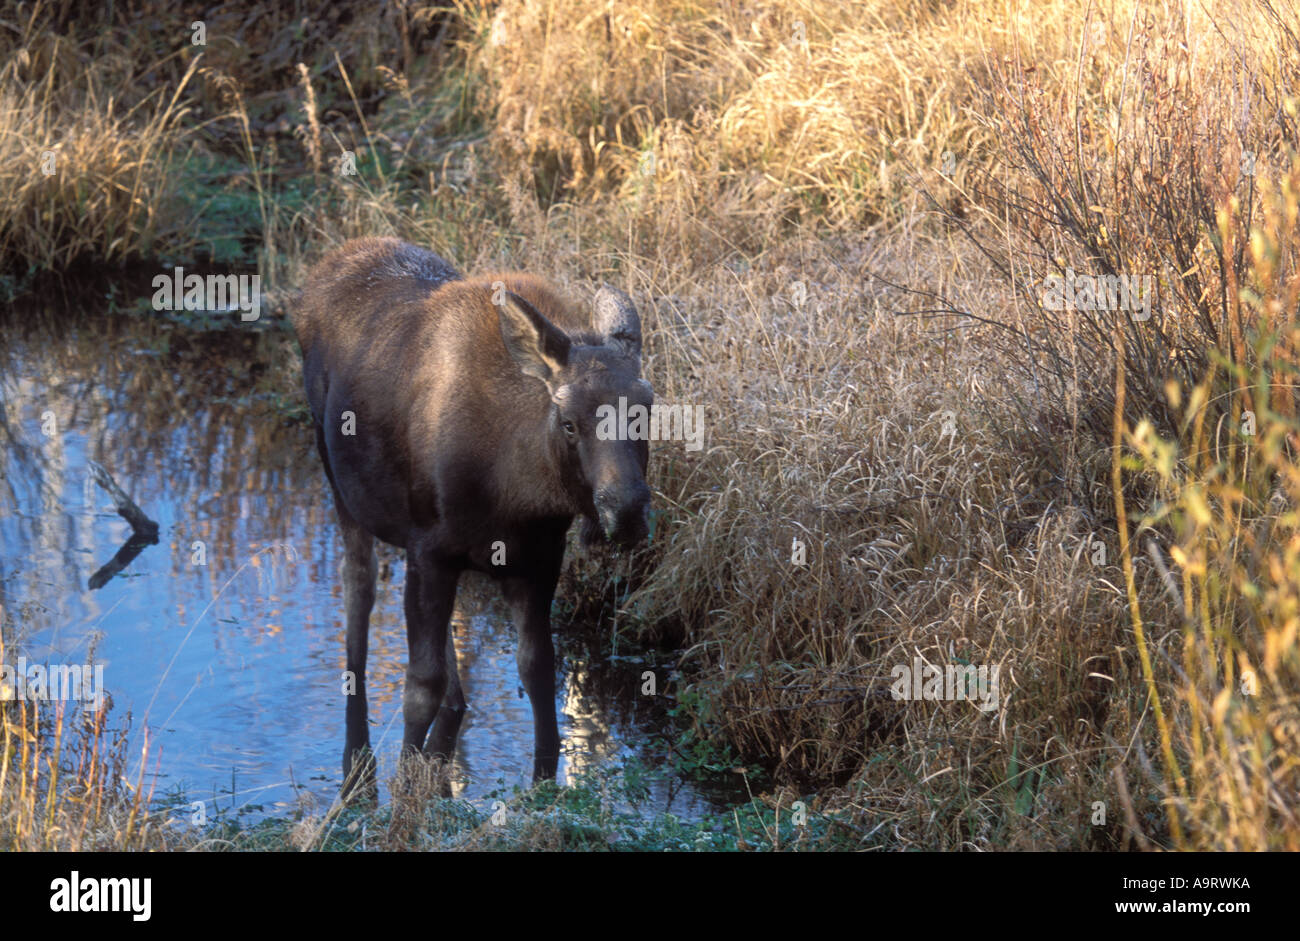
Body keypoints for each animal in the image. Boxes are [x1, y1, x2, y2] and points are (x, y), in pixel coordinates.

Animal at [291, 237, 653, 798]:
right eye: (569, 422)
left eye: (647, 407)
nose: (627, 510)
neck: (519, 492)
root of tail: (328, 267)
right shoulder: (430, 551)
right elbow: (419, 685)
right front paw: (407, 794)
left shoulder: (538, 559)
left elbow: (537, 668)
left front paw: (542, 781)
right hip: (338, 478)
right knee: (359, 584)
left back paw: (456, 706)